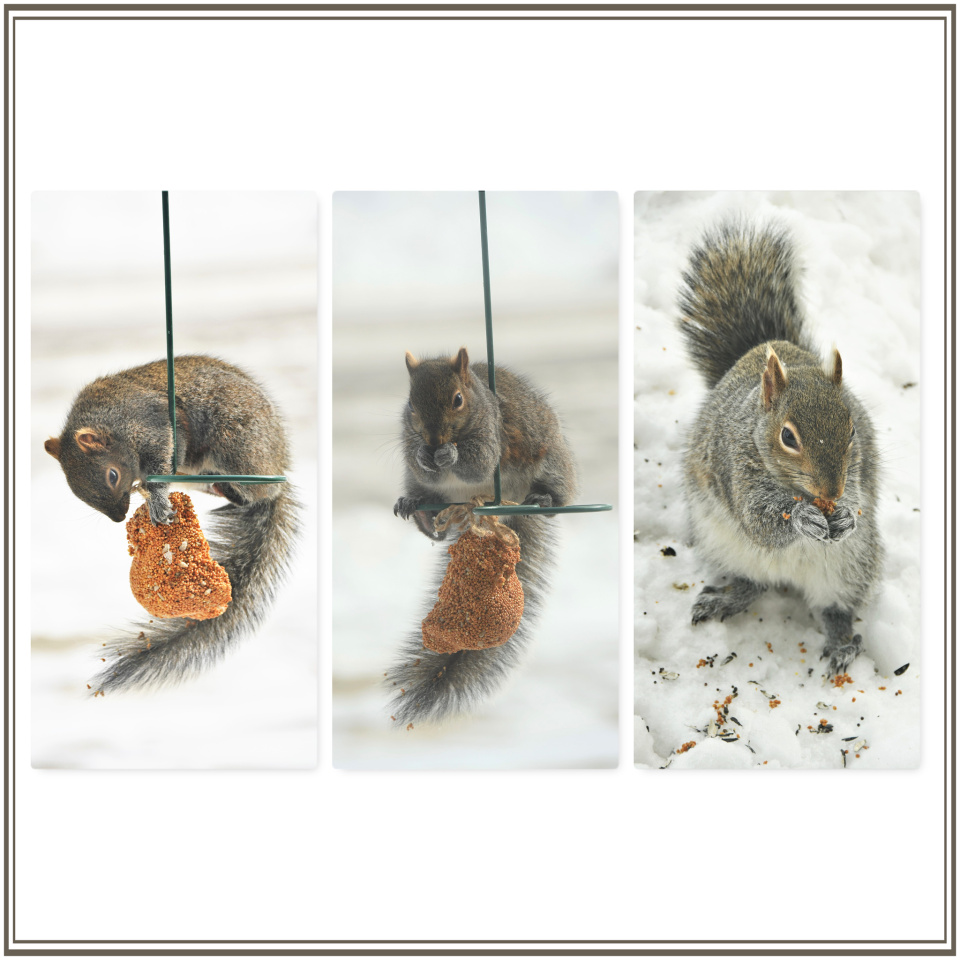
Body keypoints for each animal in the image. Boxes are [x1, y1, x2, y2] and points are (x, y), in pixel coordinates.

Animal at [44, 355, 301, 691]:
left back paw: (237, 487)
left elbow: (162, 455)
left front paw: (156, 499)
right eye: (77, 492)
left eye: (112, 475)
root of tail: (278, 465)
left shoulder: (151, 425)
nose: (119, 517)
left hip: (236, 440)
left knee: (257, 490)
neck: (112, 422)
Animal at [390, 346, 578, 724]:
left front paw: (450, 454)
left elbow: (478, 463)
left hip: (551, 460)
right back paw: (418, 509)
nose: (433, 441)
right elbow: (422, 465)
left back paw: (544, 499)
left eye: (458, 400)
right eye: (411, 404)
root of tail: (504, 506)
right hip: (420, 486)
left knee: (555, 495)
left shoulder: (493, 434)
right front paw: (425, 456)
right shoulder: (409, 439)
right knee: (429, 505)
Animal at [676, 222, 883, 677]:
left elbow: (858, 499)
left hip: (851, 566)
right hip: (726, 546)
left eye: (853, 429)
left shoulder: (857, 470)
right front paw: (802, 518)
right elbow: (761, 519)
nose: (831, 492)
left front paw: (845, 515)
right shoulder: (734, 467)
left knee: (835, 609)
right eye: (788, 437)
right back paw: (727, 597)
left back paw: (841, 643)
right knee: (754, 583)